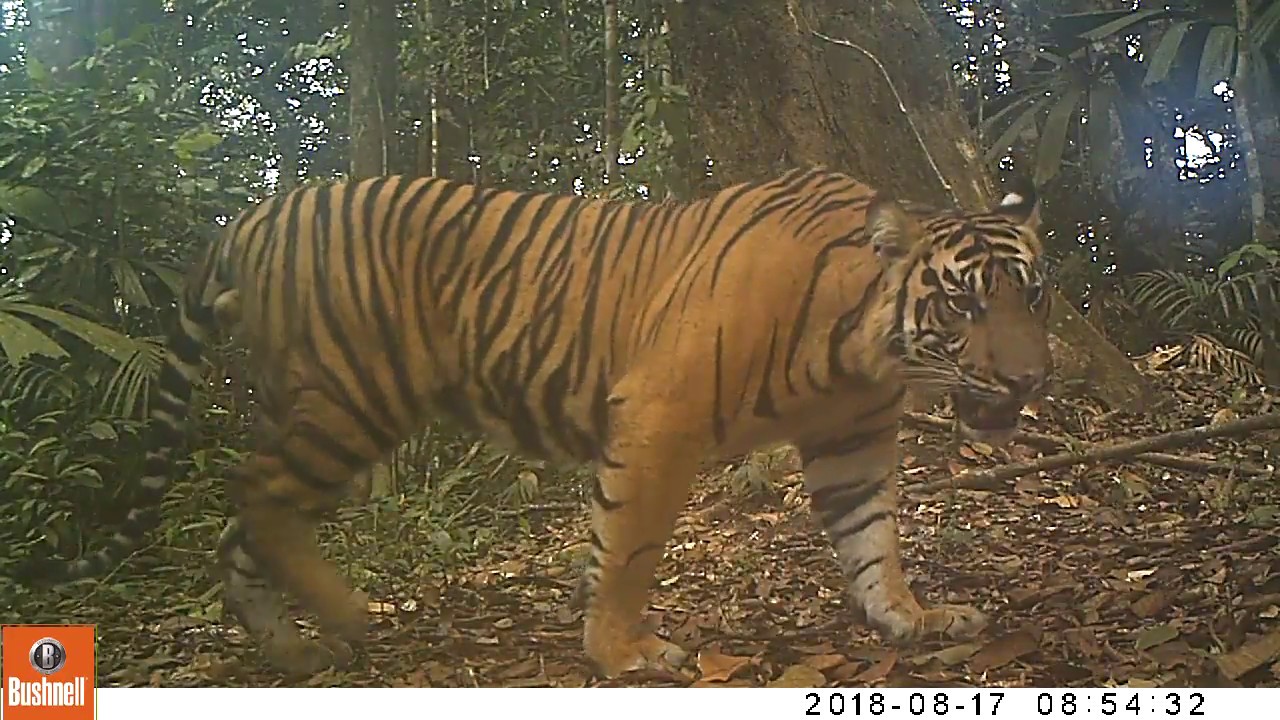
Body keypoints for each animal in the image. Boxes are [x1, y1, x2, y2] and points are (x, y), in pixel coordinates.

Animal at [25, 167, 1051, 679]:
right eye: (964, 304)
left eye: (1031, 295)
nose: (1032, 377)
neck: (866, 346)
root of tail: (254, 214)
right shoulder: (660, 415)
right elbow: (629, 546)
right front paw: (624, 652)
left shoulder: (852, 438)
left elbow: (871, 535)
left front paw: (910, 616)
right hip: (354, 396)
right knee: (255, 493)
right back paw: (348, 617)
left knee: (242, 526)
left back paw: (294, 649)